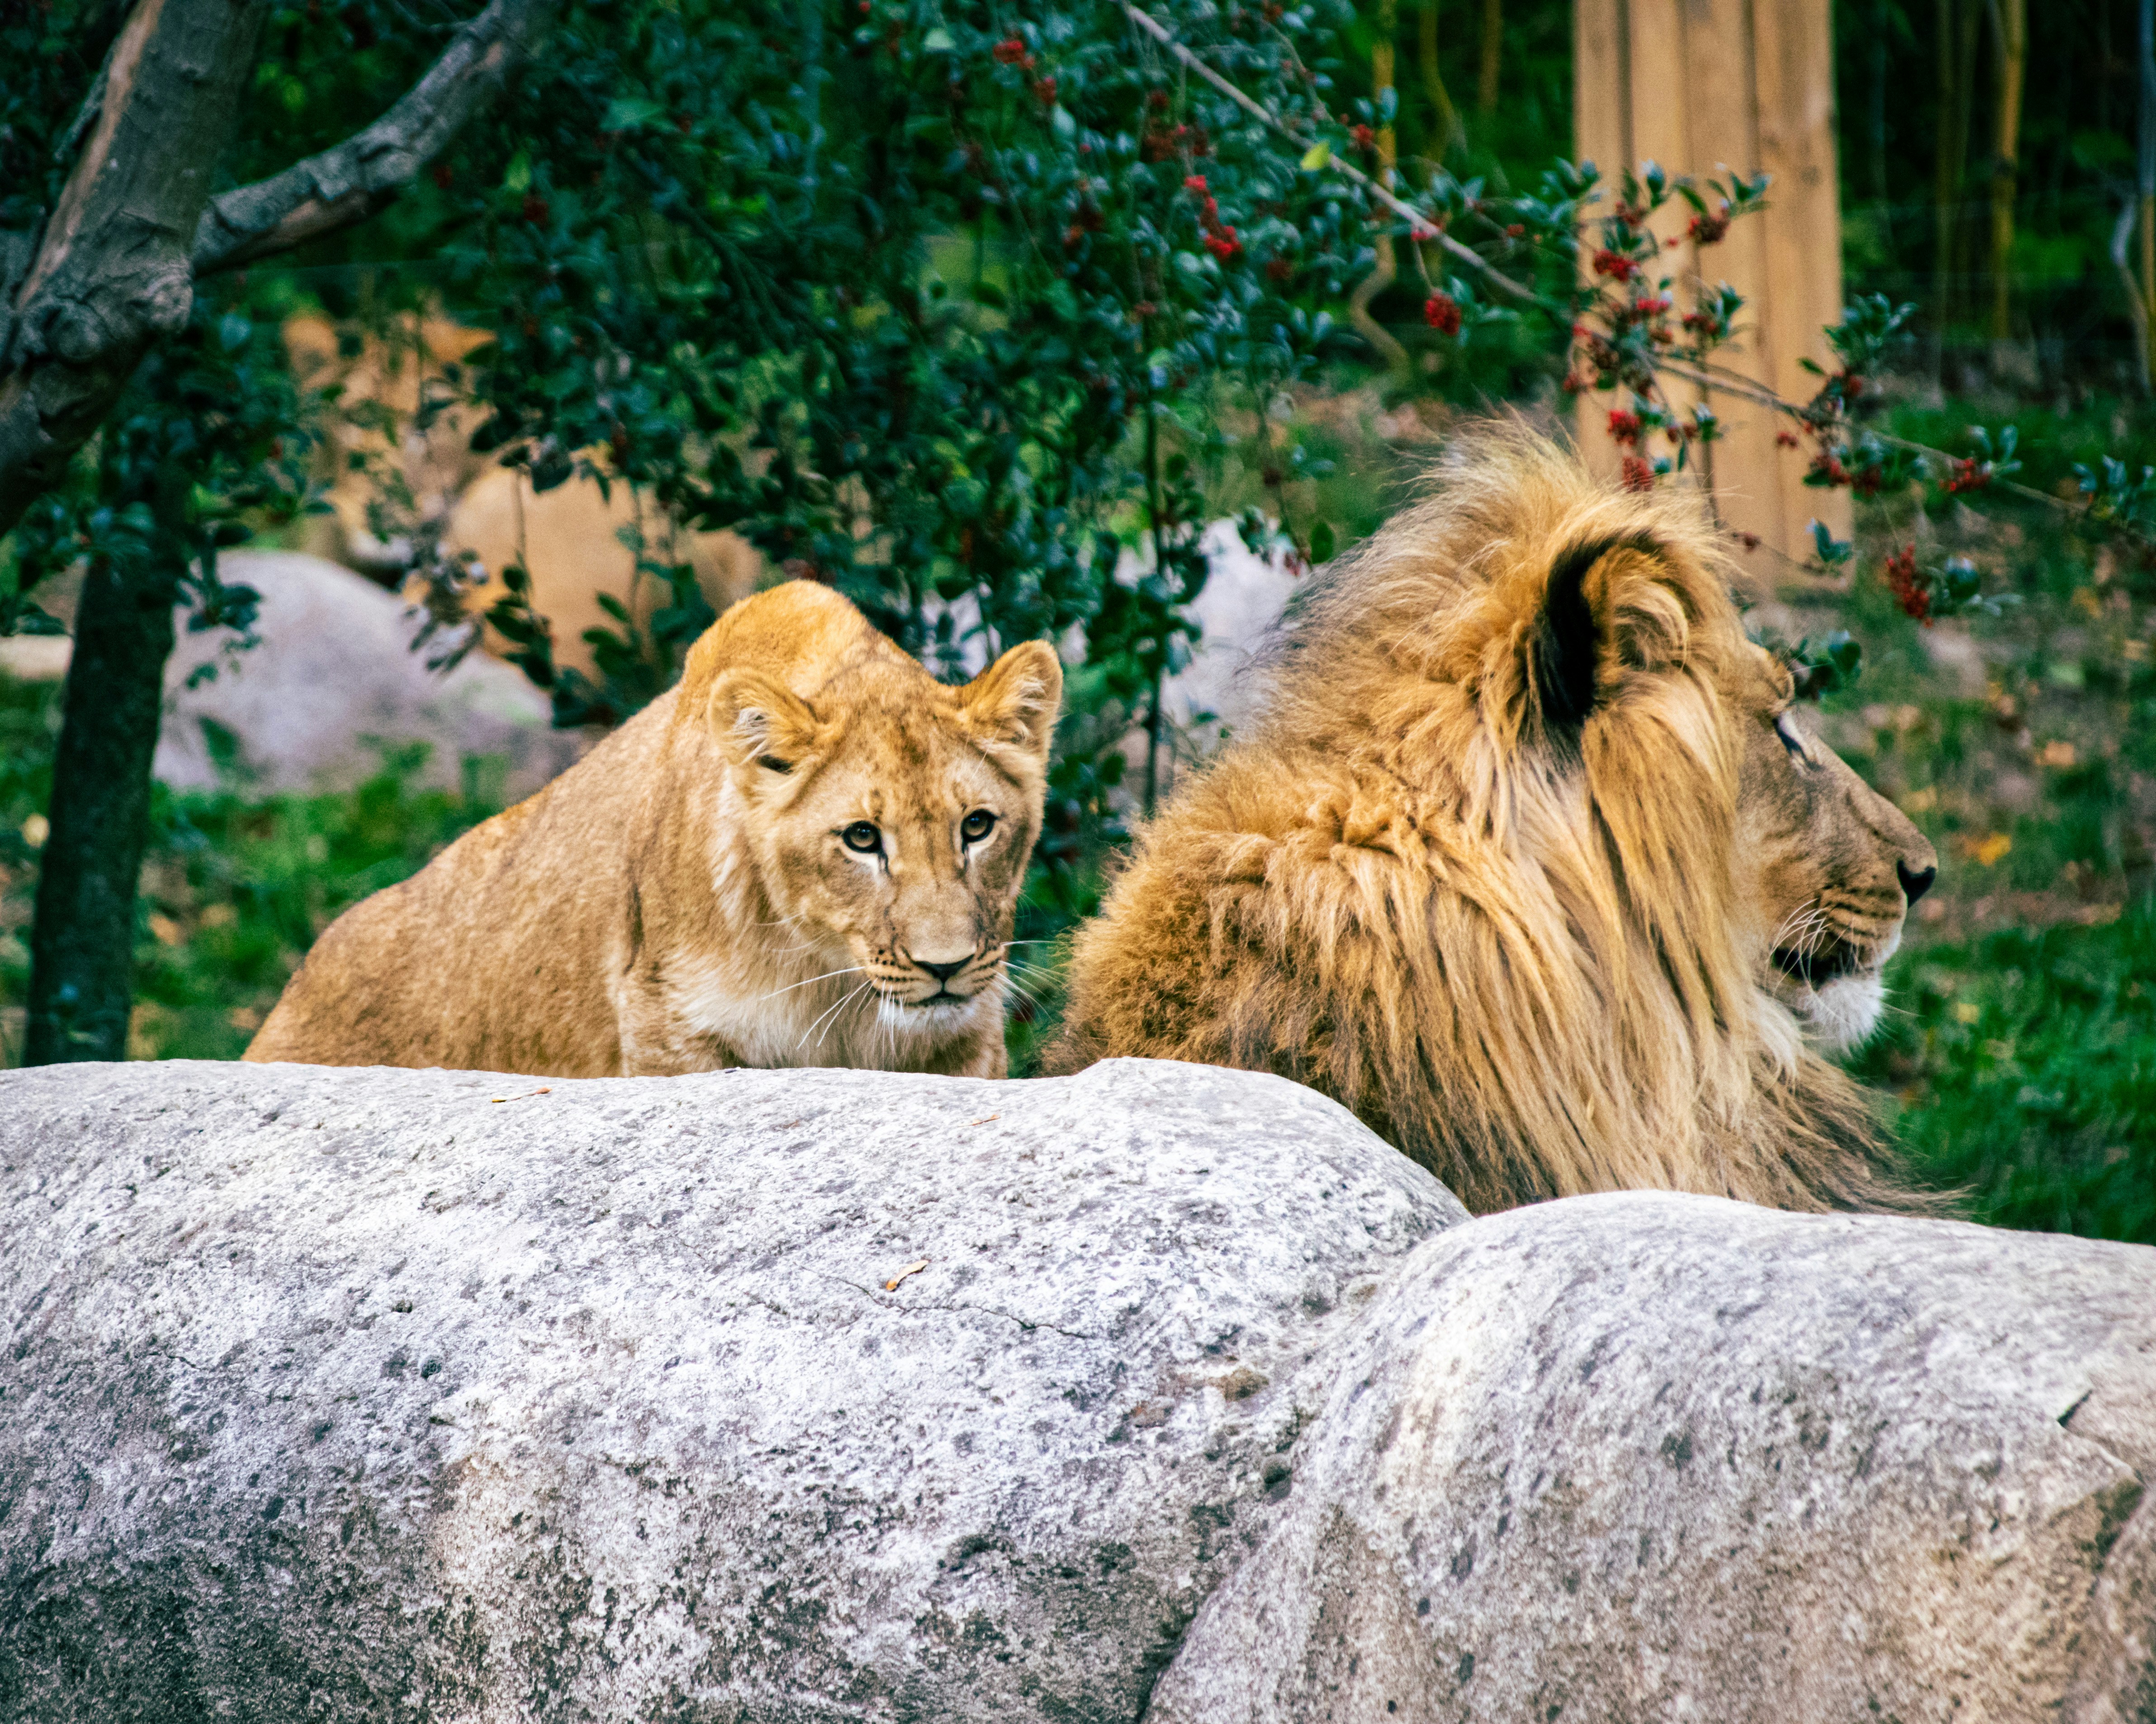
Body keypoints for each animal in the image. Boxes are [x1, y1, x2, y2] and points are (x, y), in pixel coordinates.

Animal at [246, 581, 1062, 1078]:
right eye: (861, 838)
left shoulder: (964, 1040)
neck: (827, 982)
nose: (945, 966)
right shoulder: (668, 1030)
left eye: (977, 826)